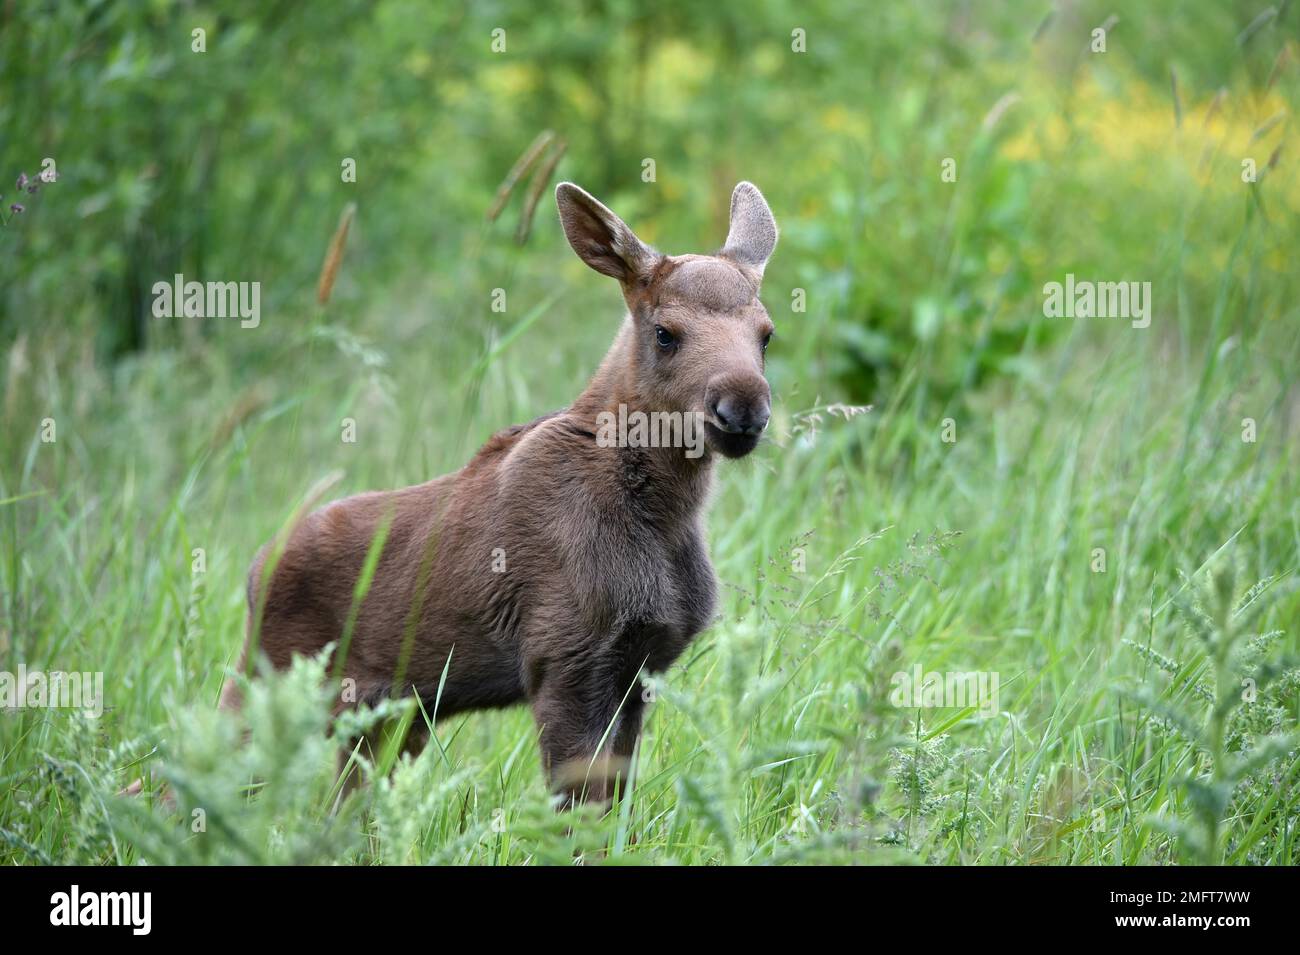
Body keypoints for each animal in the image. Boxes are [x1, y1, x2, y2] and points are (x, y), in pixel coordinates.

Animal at [220, 180, 779, 806]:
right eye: (665, 334)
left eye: (766, 335)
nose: (742, 409)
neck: (667, 516)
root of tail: (254, 571)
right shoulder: (565, 660)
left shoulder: (640, 670)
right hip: (271, 682)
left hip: (390, 717)